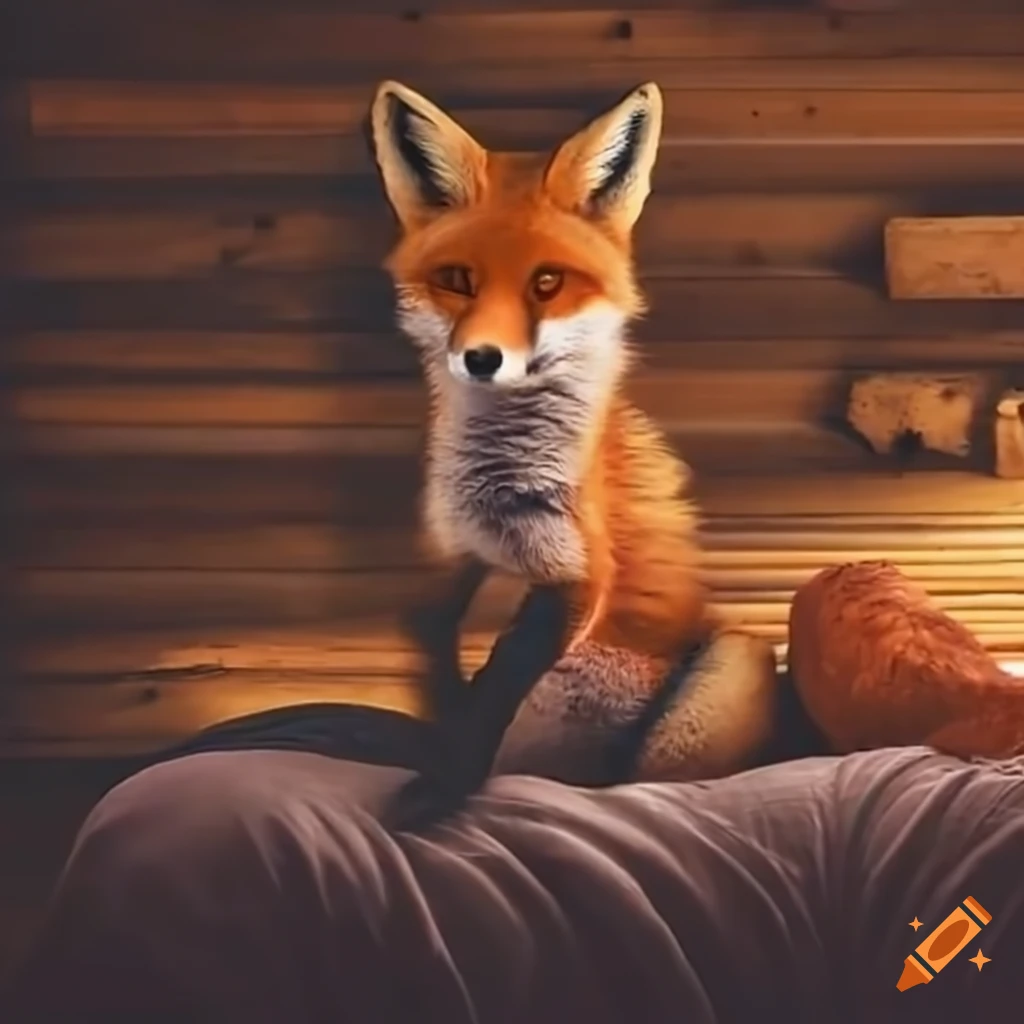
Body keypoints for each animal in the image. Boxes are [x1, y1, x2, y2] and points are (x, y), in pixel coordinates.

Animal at [369, 81, 779, 815]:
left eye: (547, 283)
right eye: (458, 280)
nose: (482, 358)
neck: (498, 486)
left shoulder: (577, 572)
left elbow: (495, 692)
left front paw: (441, 791)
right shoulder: (449, 572)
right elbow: (441, 663)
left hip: (732, 665)